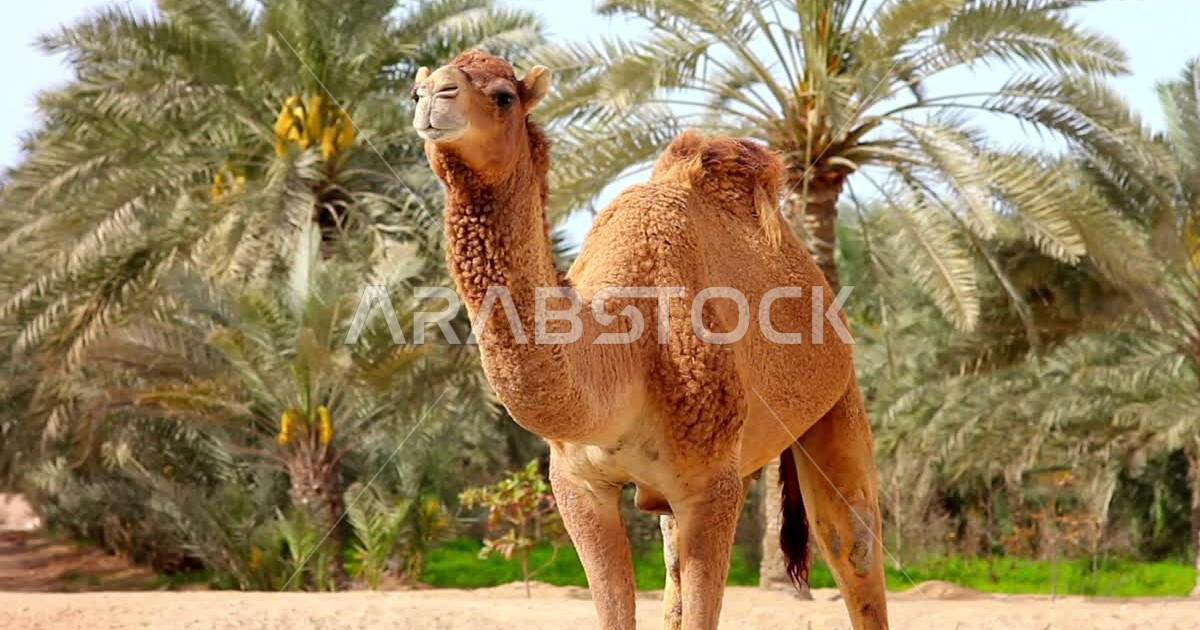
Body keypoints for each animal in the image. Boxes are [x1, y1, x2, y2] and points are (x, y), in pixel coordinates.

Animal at [412, 50, 888, 630]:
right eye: (415, 91)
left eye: (503, 95)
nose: (433, 96)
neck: (625, 354)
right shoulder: (577, 483)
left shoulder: (712, 484)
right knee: (672, 558)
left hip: (838, 396)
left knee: (850, 539)